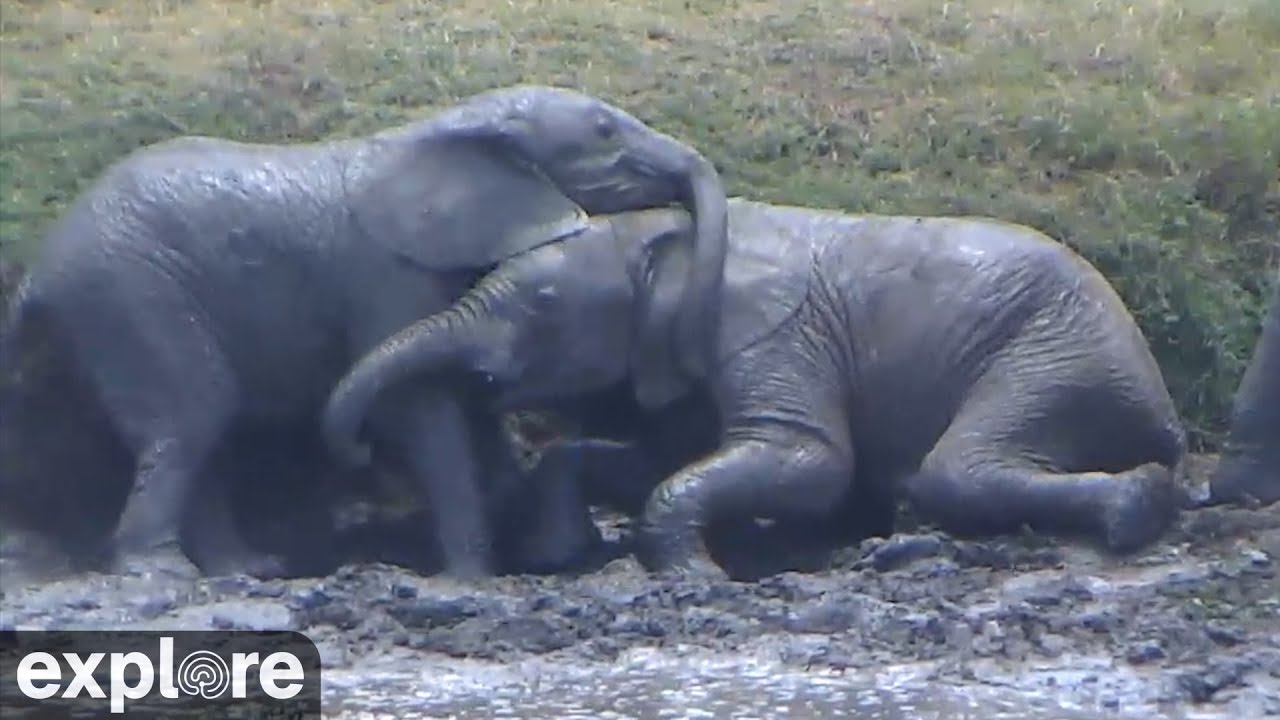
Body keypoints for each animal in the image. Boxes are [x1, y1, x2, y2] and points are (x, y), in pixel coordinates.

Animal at [0, 84, 729, 580]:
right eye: (604, 130)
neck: (458, 123)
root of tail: (39, 271)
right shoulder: (386, 272)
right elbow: (422, 408)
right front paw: (472, 577)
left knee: (202, 427)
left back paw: (247, 570)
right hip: (131, 295)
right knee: (188, 420)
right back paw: (164, 574)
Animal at [321, 199, 1190, 578]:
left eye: (540, 305)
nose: (354, 450)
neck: (665, 235)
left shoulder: (767, 334)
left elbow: (808, 461)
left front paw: (694, 578)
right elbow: (648, 460)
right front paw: (561, 558)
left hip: (1057, 356)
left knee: (955, 470)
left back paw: (1135, 506)